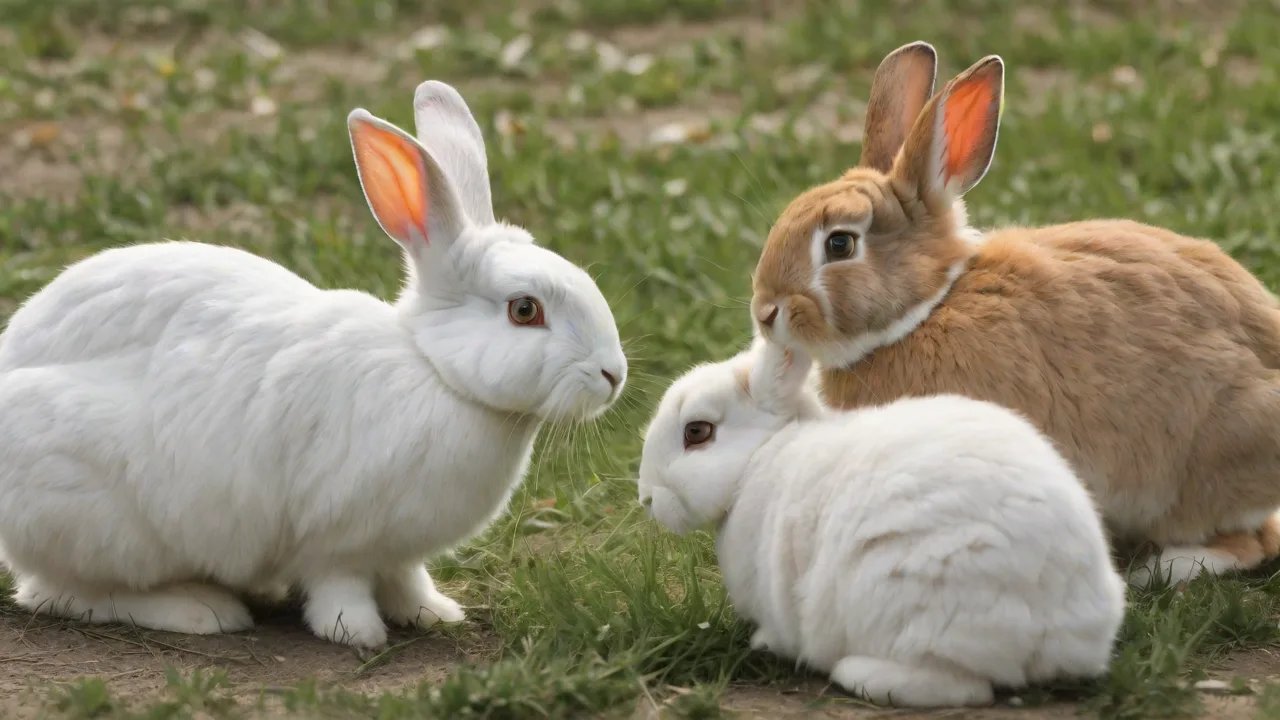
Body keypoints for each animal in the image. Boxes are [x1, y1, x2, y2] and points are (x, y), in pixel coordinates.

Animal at [0, 81, 627, 648]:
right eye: (525, 310)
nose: (613, 375)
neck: (434, 371)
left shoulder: (396, 552)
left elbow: (407, 580)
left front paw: (435, 614)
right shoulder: (336, 538)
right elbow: (339, 588)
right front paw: (359, 634)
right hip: (102, 520)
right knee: (59, 591)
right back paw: (201, 610)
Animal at [636, 335, 1126, 708]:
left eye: (697, 432)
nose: (646, 498)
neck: (760, 455)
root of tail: (1065, 631)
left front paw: (764, 643)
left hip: (905, 599)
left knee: (962, 687)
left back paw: (856, 673)